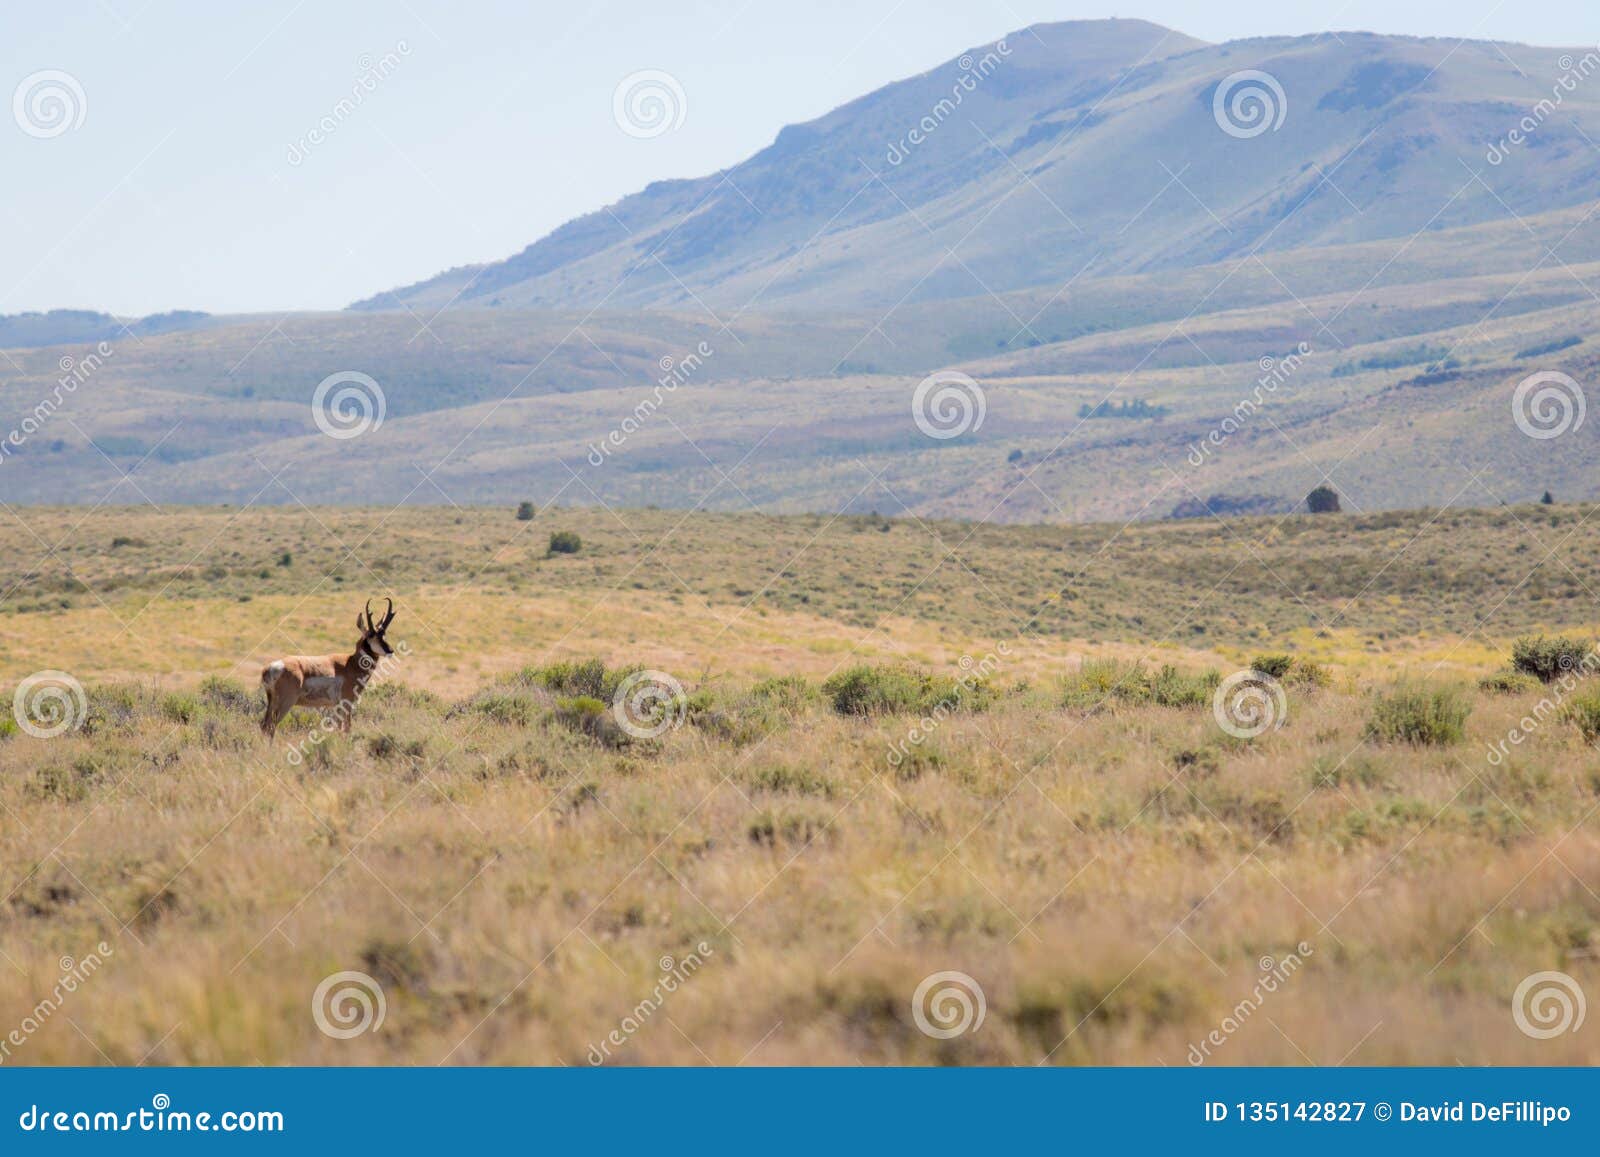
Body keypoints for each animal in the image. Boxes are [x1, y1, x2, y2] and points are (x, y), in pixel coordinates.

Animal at [260, 598, 397, 738]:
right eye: (371, 635)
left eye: (384, 635)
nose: (390, 651)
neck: (350, 663)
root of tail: (271, 668)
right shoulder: (346, 703)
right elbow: (347, 728)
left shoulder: (336, 706)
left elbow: (339, 727)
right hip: (286, 702)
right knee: (271, 726)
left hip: (272, 702)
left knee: (264, 725)